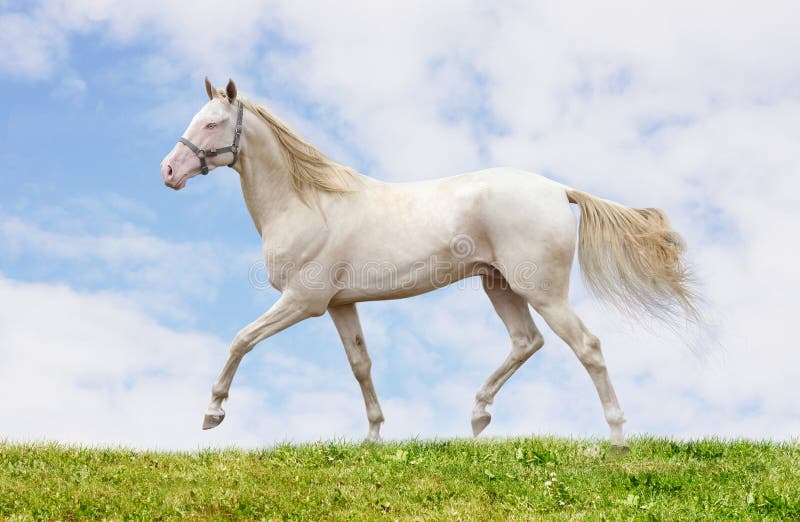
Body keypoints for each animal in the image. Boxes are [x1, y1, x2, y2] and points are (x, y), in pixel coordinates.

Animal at [160, 78, 698, 451]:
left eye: (211, 123)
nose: (167, 171)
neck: (307, 202)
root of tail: (557, 189)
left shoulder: (303, 301)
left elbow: (241, 339)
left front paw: (212, 413)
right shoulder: (339, 305)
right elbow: (361, 365)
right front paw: (374, 436)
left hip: (543, 292)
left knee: (587, 347)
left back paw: (617, 440)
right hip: (500, 286)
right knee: (526, 342)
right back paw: (478, 417)